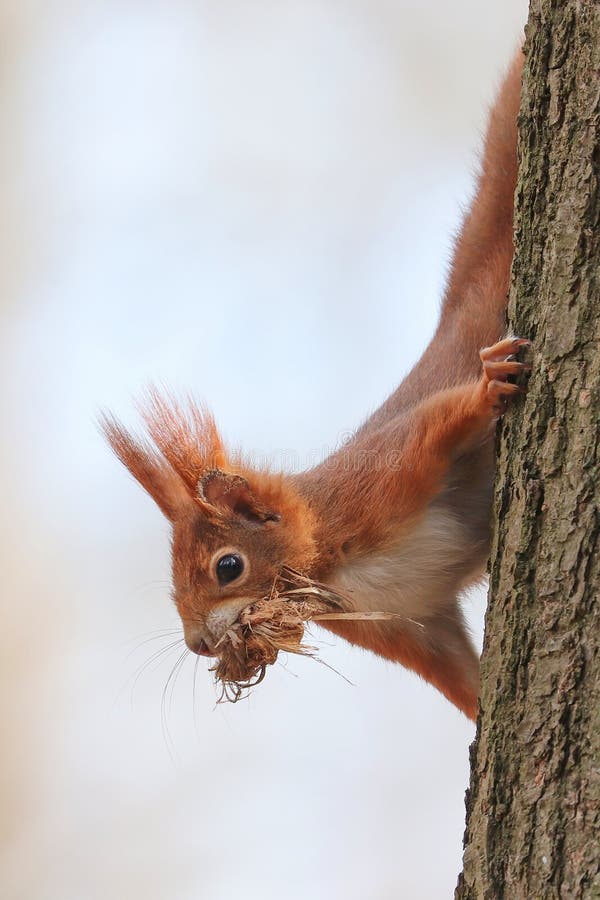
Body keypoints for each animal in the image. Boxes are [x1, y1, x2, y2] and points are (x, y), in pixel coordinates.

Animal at [103, 50, 528, 721]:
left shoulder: (384, 478)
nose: (198, 644)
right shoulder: (412, 622)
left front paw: (488, 389)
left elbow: (439, 422)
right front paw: (480, 720)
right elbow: (458, 673)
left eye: (228, 567)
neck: (330, 565)